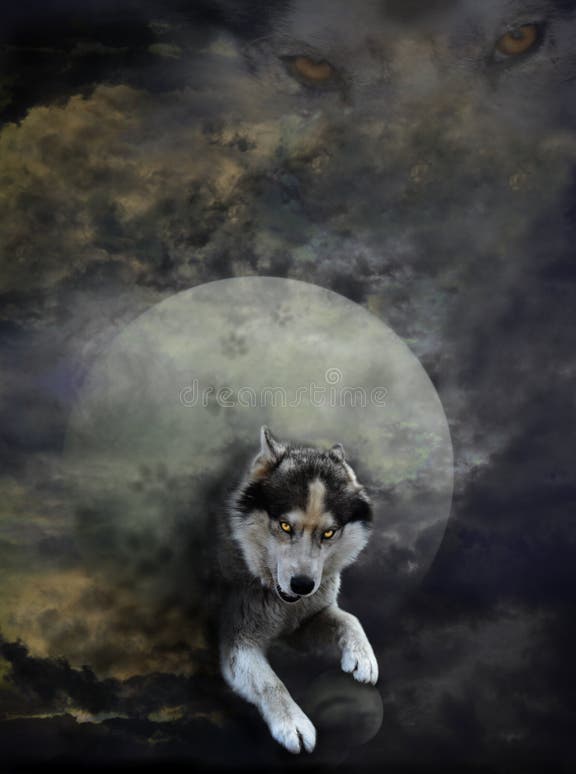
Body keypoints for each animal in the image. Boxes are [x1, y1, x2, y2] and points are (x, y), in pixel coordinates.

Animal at [217, 426, 377, 754]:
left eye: (328, 533)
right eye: (285, 526)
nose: (302, 585)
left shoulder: (302, 626)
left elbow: (348, 618)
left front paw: (363, 657)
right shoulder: (237, 641)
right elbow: (270, 682)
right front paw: (292, 724)